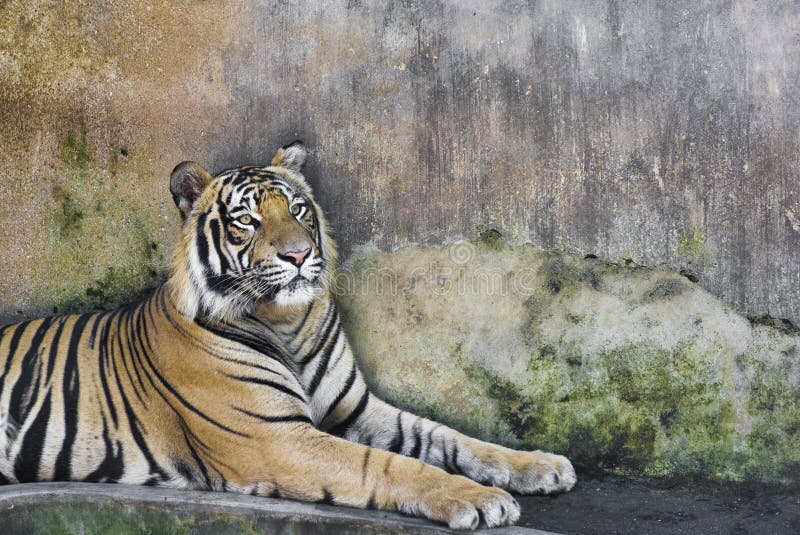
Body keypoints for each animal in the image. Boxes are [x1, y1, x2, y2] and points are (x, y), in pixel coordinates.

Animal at [0, 141, 576, 529]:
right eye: (246, 221)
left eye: (297, 209)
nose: (298, 255)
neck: (287, 323)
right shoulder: (274, 437)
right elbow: (389, 464)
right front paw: (479, 499)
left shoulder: (356, 409)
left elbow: (451, 437)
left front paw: (542, 466)